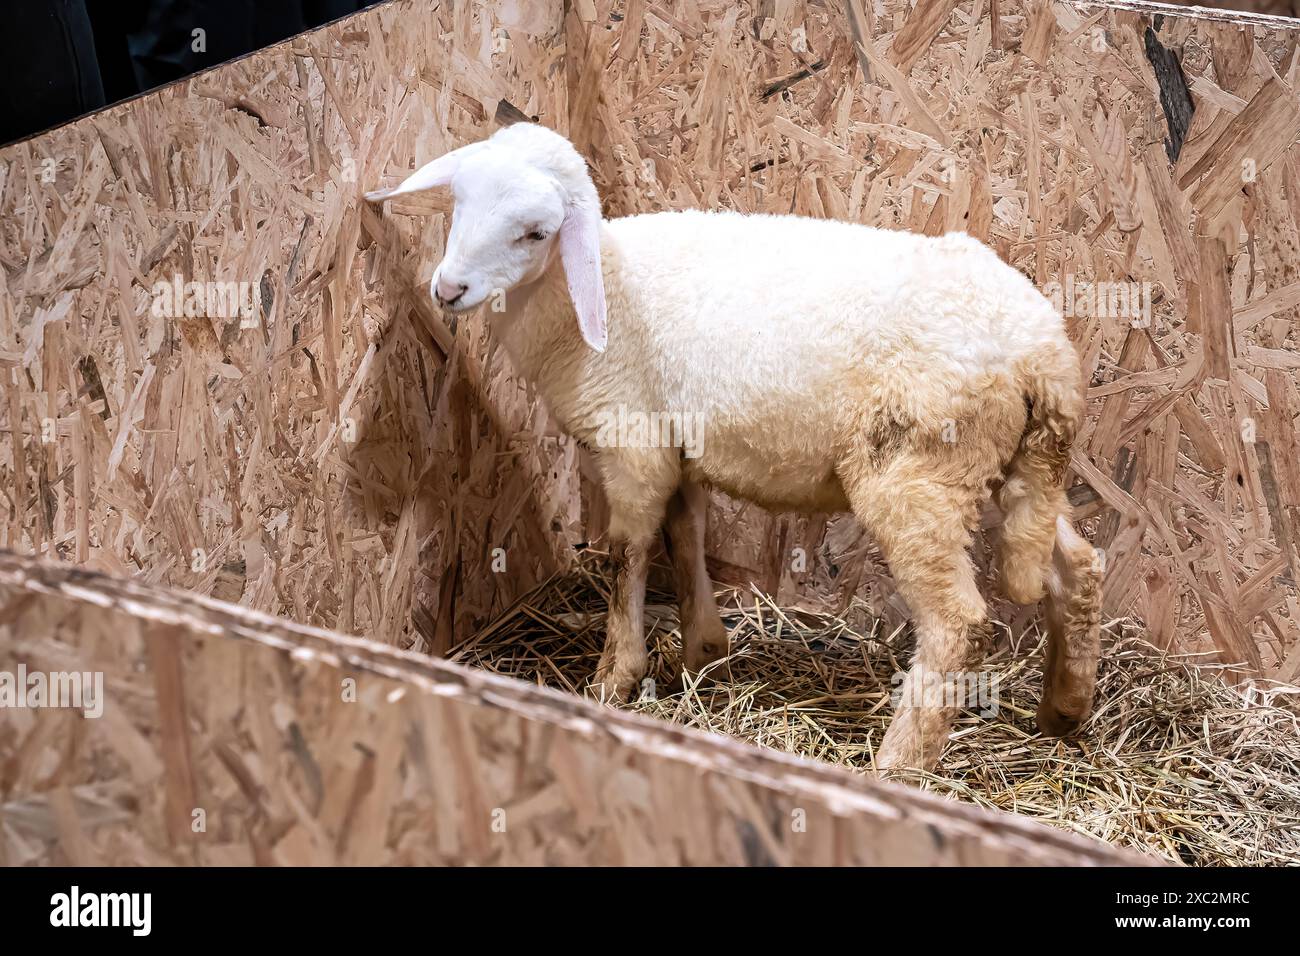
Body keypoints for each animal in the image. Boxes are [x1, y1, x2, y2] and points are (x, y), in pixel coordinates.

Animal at [366, 123, 1103, 771]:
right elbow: (685, 533)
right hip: (1009, 467)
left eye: (535, 233)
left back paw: (900, 762)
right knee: (1076, 564)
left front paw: (615, 675)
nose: (448, 289)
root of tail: (1046, 352)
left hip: (918, 473)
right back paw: (1064, 710)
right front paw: (703, 649)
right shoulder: (679, 443)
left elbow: (626, 555)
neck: (590, 288)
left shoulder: (632, 444)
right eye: (460, 203)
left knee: (958, 621)